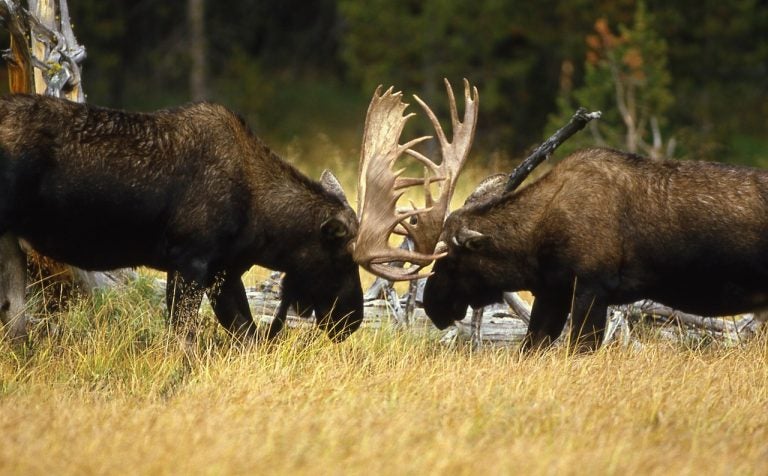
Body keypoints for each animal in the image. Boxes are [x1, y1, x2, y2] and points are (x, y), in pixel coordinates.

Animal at [0, 94, 363, 342]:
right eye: (344, 259)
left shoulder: (222, 271)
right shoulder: (190, 260)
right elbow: (184, 339)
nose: (353, 320)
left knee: (14, 315)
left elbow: (247, 336)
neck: (262, 226)